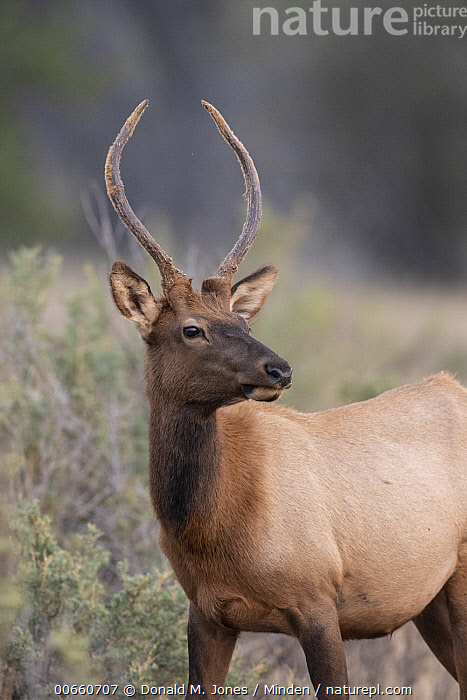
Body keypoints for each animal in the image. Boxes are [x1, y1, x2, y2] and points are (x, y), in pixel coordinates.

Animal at [105, 100, 467, 699]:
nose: (280, 368)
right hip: (433, 604)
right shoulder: (207, 613)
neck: (213, 525)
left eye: (243, 319)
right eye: (191, 328)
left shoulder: (318, 603)